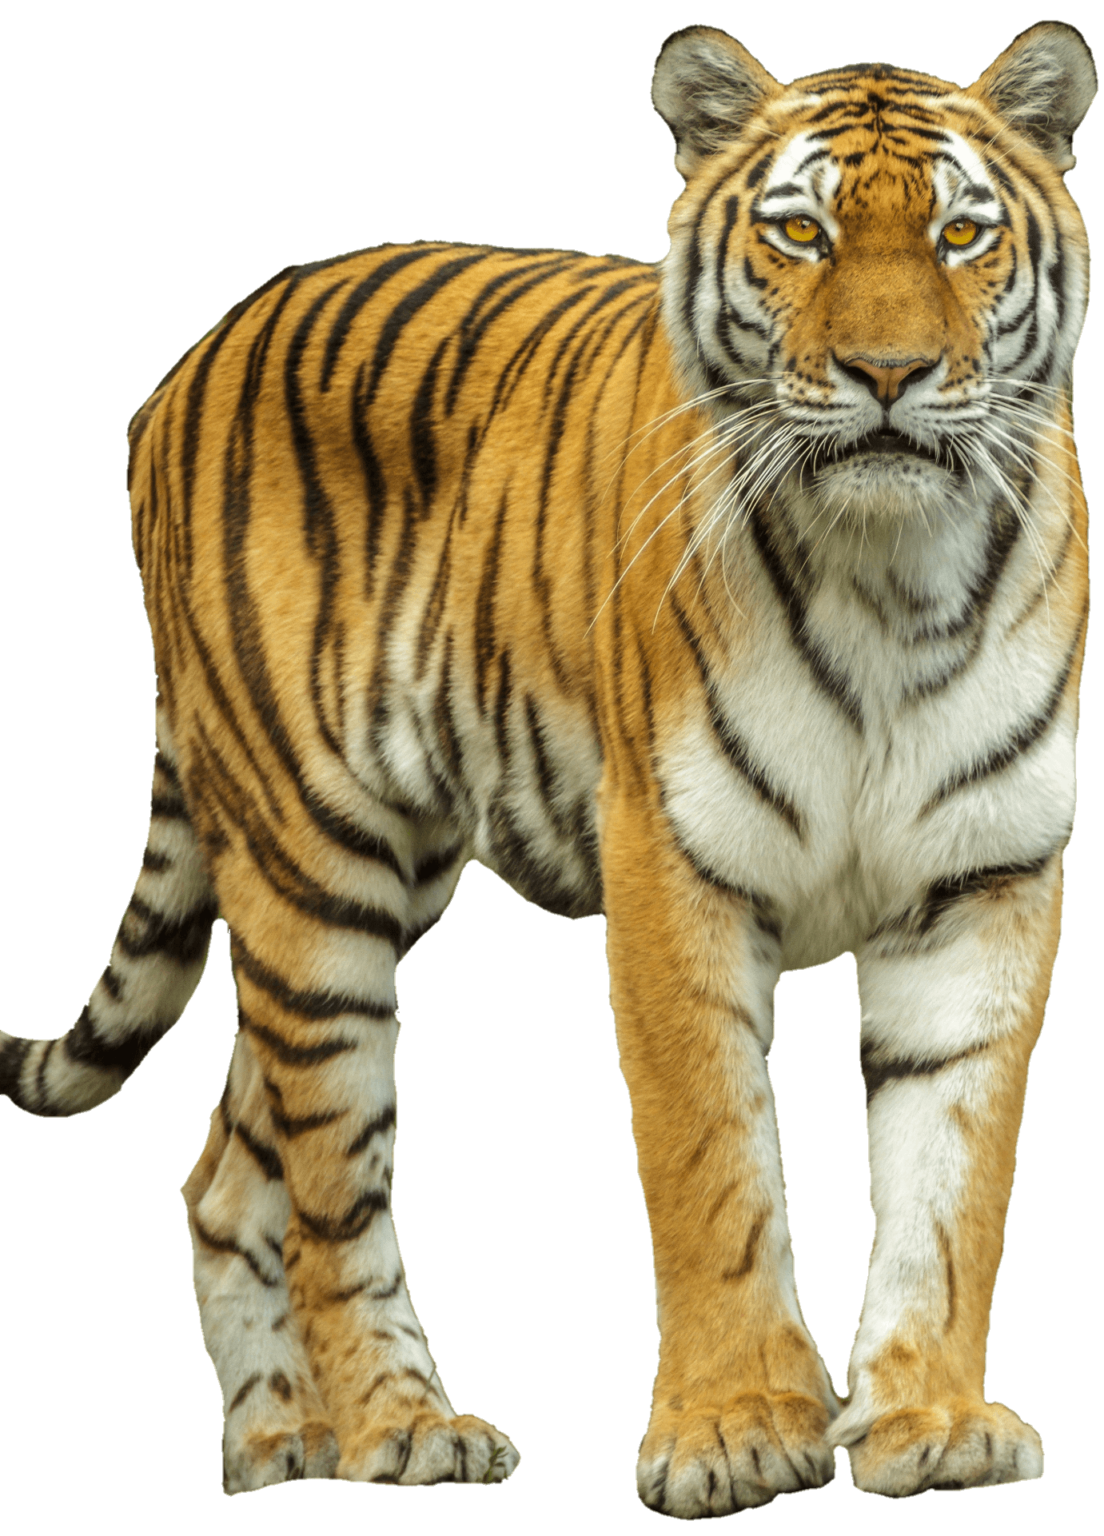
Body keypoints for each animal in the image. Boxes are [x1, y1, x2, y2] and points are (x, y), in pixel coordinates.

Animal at [0, 18, 1091, 1516]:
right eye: (800, 233)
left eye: (962, 233)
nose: (888, 375)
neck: (894, 579)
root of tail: (190, 359)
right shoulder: (675, 861)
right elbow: (712, 1165)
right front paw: (735, 1434)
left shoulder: (985, 879)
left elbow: (955, 1179)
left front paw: (932, 1423)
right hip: (311, 868)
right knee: (332, 1183)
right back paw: (400, 1430)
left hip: (368, 886)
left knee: (227, 1172)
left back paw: (275, 1450)